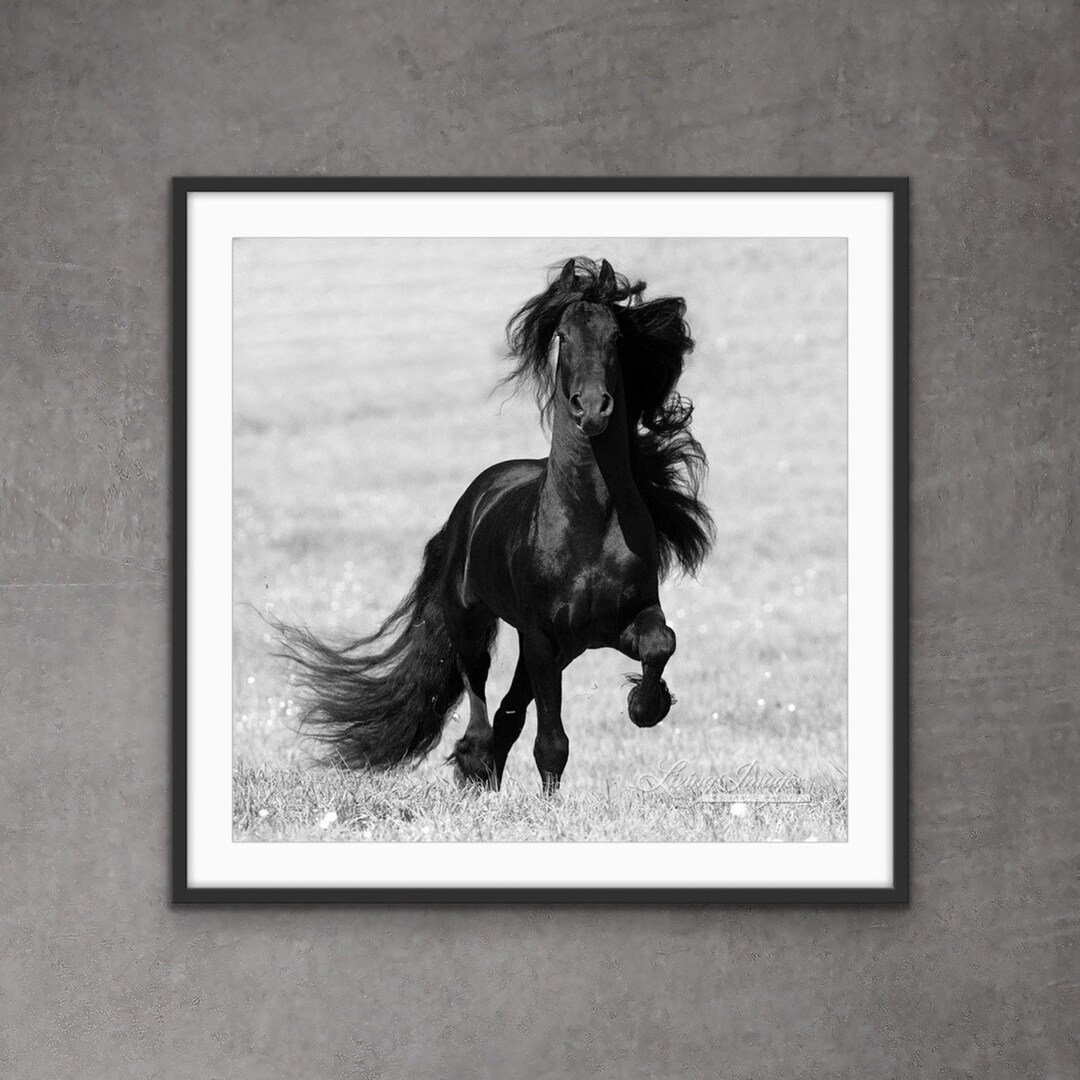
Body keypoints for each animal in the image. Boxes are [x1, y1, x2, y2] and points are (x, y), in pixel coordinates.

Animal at [278, 257, 714, 793]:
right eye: (563, 336)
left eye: (616, 336)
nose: (592, 408)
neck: (588, 524)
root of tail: (471, 501)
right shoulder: (542, 635)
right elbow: (551, 742)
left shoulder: (623, 619)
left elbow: (660, 642)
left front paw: (644, 706)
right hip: (472, 622)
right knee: (481, 691)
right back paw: (475, 760)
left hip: (558, 647)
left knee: (508, 711)